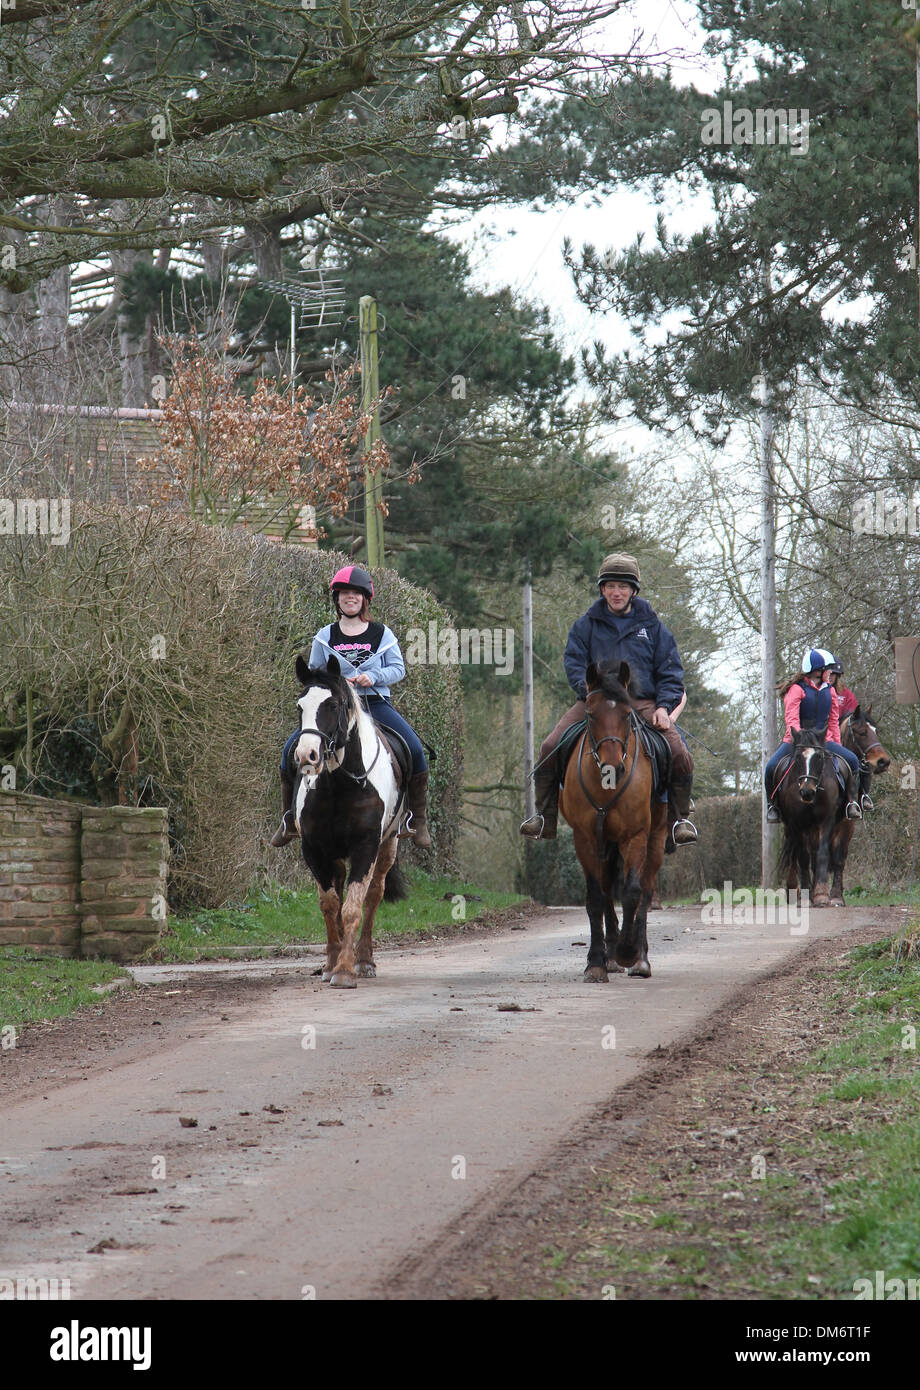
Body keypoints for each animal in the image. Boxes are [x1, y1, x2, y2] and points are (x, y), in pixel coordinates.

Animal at [290, 653, 408, 988]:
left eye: (332, 705)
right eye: (300, 706)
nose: (307, 756)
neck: (339, 785)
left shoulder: (365, 847)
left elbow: (354, 907)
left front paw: (345, 970)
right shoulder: (313, 848)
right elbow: (331, 905)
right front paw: (332, 964)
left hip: (388, 845)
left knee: (374, 895)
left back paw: (364, 960)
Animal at [558, 659, 668, 982]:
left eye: (627, 714)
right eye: (591, 714)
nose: (612, 768)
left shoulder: (635, 835)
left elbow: (632, 893)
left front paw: (628, 951)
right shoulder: (585, 838)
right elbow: (597, 897)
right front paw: (596, 962)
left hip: (655, 839)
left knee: (645, 889)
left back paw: (640, 958)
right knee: (607, 890)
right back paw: (609, 955)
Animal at [774, 728, 846, 908]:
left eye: (819, 757)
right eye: (798, 757)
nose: (807, 791)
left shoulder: (827, 821)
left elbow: (822, 854)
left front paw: (821, 894)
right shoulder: (795, 824)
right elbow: (803, 858)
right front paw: (806, 897)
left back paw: (835, 897)